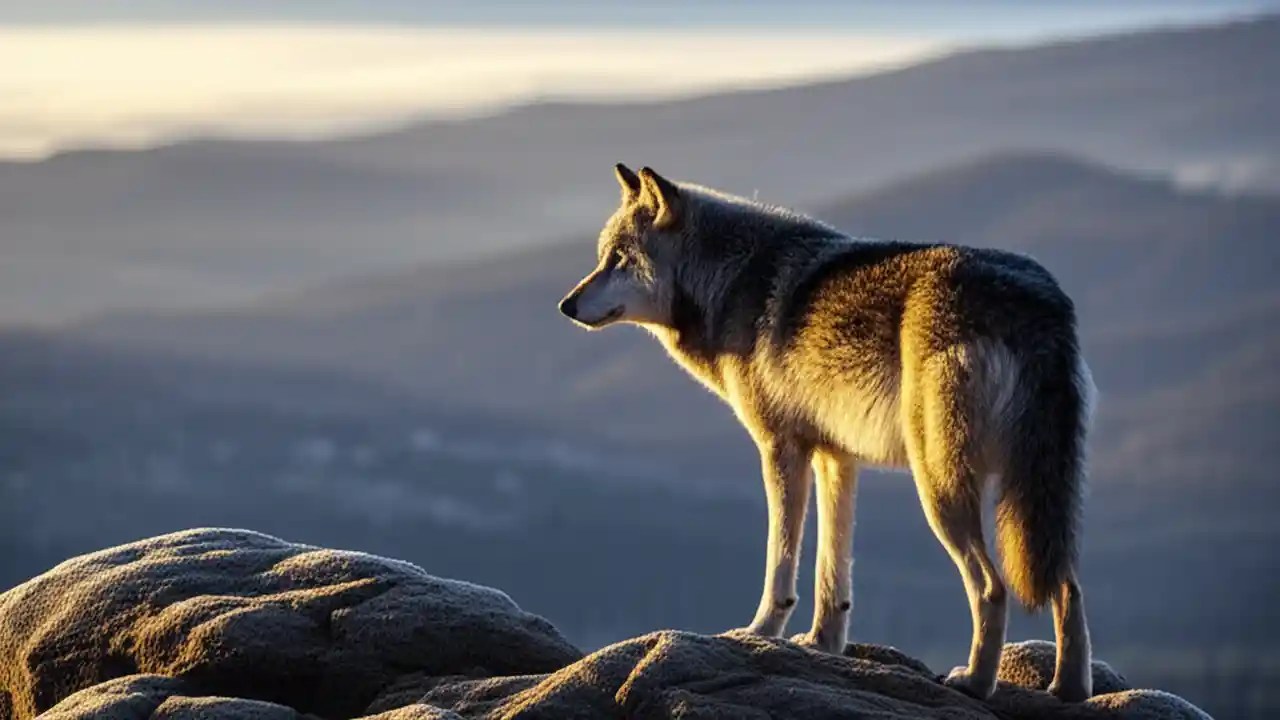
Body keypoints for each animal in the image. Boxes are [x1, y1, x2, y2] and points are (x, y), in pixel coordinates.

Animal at [558, 164, 1095, 701]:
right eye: (602, 257)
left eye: (619, 259)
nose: (566, 304)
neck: (731, 281)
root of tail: (1036, 305)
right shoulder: (836, 458)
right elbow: (831, 571)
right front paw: (823, 643)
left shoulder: (780, 450)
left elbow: (781, 562)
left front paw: (758, 633)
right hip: (1039, 497)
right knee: (1068, 584)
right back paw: (1068, 688)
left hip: (940, 488)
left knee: (991, 586)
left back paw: (976, 682)